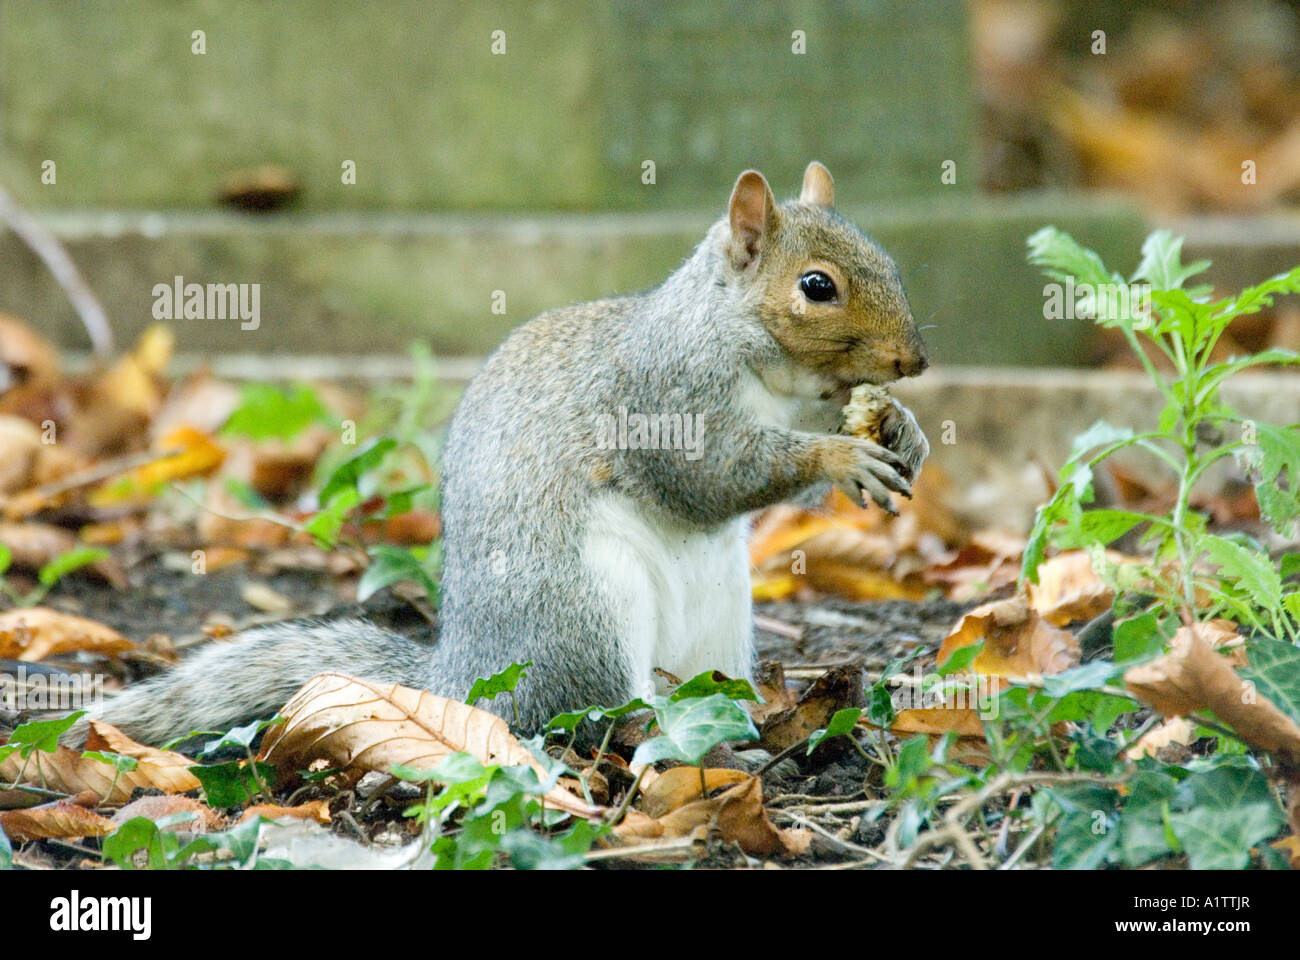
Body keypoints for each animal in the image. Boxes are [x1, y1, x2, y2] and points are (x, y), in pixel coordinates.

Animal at [81, 162, 930, 746]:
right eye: (816, 286)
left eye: (890, 260)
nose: (914, 360)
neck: (774, 373)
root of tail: (462, 680)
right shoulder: (664, 396)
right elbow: (712, 475)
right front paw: (839, 458)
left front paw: (902, 430)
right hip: (587, 611)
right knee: (590, 713)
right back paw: (661, 729)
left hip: (720, 621)